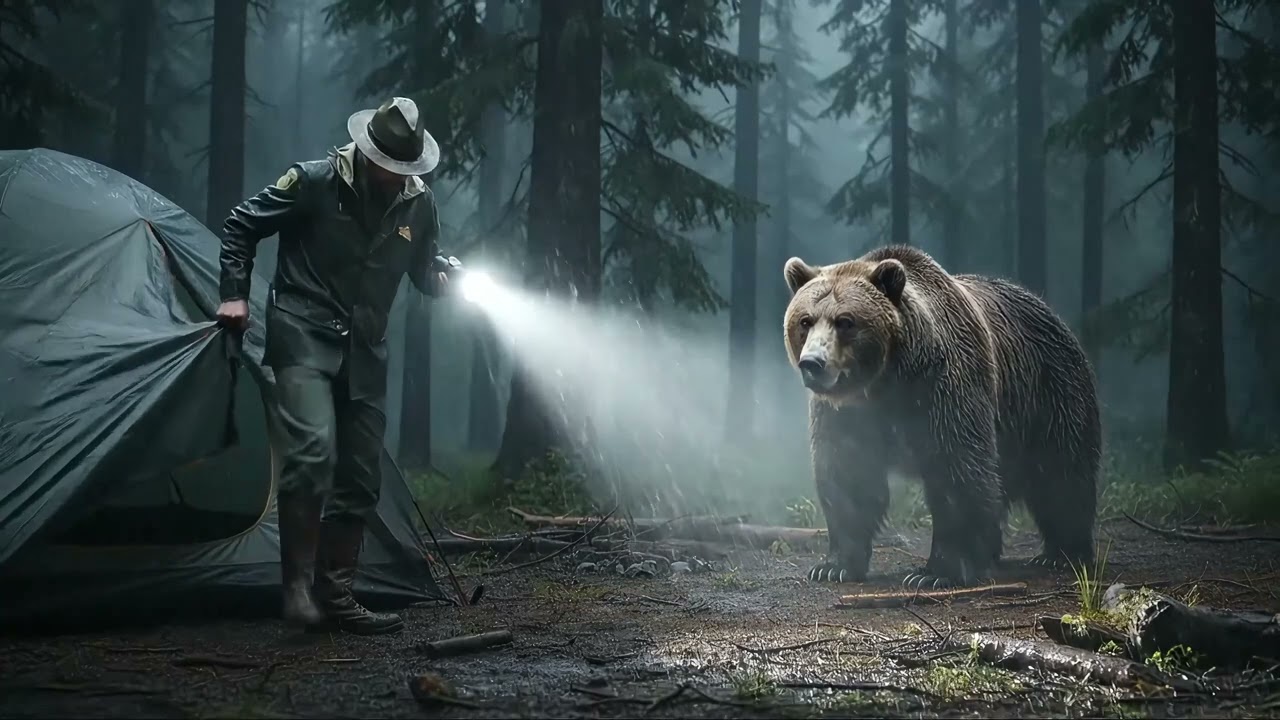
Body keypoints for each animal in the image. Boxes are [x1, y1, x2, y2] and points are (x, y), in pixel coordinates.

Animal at [782, 244, 1101, 589]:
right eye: (805, 320)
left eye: (845, 321)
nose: (813, 363)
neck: (887, 381)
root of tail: (1050, 311)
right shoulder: (848, 414)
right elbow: (848, 476)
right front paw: (834, 566)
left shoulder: (943, 386)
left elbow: (955, 470)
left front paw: (937, 572)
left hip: (1048, 390)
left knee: (1061, 473)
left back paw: (1061, 553)